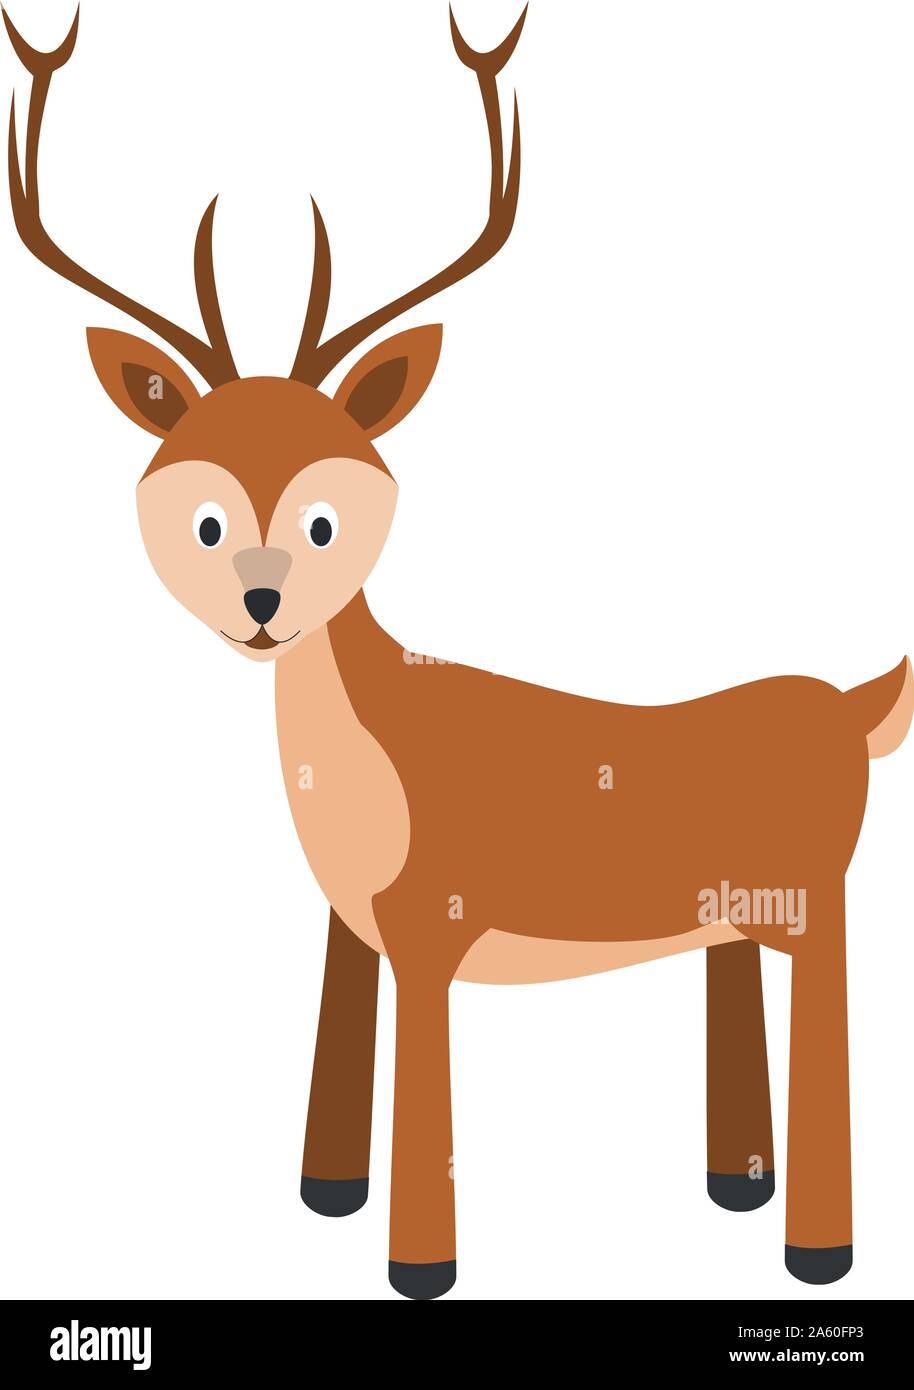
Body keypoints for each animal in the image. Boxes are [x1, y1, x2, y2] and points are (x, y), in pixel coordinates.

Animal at [5, 3, 912, 1301]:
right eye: (207, 518)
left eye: (325, 518)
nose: (264, 605)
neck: (367, 756)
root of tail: (850, 703)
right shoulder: (348, 925)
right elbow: (335, 1073)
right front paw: (324, 1201)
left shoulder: (434, 926)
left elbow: (421, 1108)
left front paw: (419, 1271)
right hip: (729, 914)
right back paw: (732, 1187)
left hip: (817, 904)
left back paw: (815, 1254)